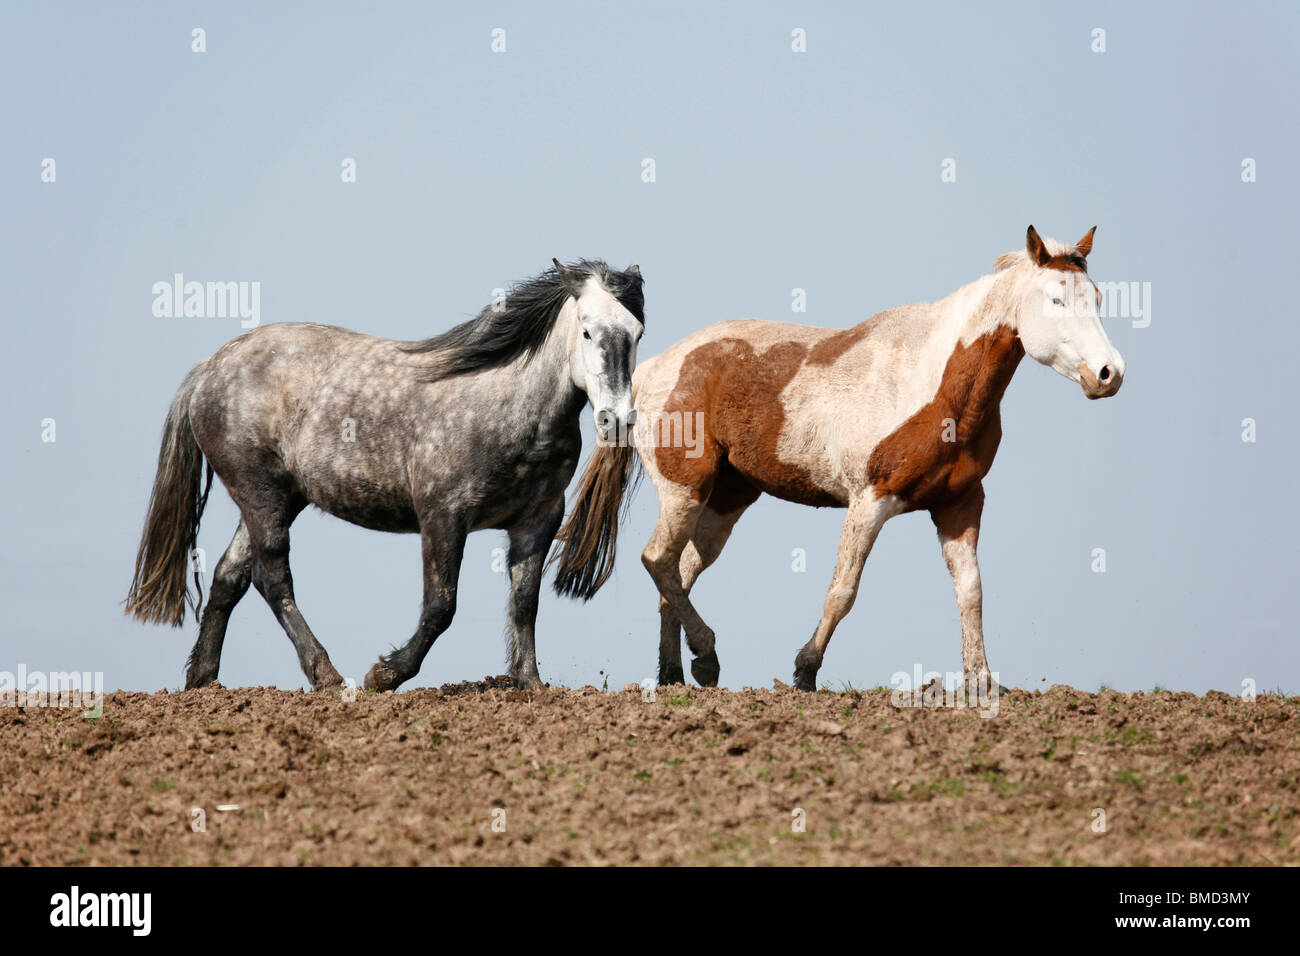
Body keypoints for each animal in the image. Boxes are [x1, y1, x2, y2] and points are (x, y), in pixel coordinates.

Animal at [125, 259, 645, 692]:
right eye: (586, 331)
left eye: (637, 332)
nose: (617, 419)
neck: (511, 410)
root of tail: (209, 368)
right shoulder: (443, 516)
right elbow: (440, 607)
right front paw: (385, 675)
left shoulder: (536, 522)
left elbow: (525, 604)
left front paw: (531, 684)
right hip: (261, 494)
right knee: (272, 578)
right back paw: (328, 676)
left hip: (278, 497)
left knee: (228, 577)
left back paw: (203, 681)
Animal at [551, 226, 1123, 692]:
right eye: (1055, 299)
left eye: (1094, 297)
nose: (1109, 373)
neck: (933, 385)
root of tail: (650, 371)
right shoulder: (870, 501)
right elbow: (843, 591)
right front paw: (805, 670)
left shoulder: (960, 505)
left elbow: (972, 592)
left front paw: (983, 683)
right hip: (684, 491)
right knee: (658, 561)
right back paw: (705, 658)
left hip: (725, 501)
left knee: (679, 573)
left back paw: (676, 673)